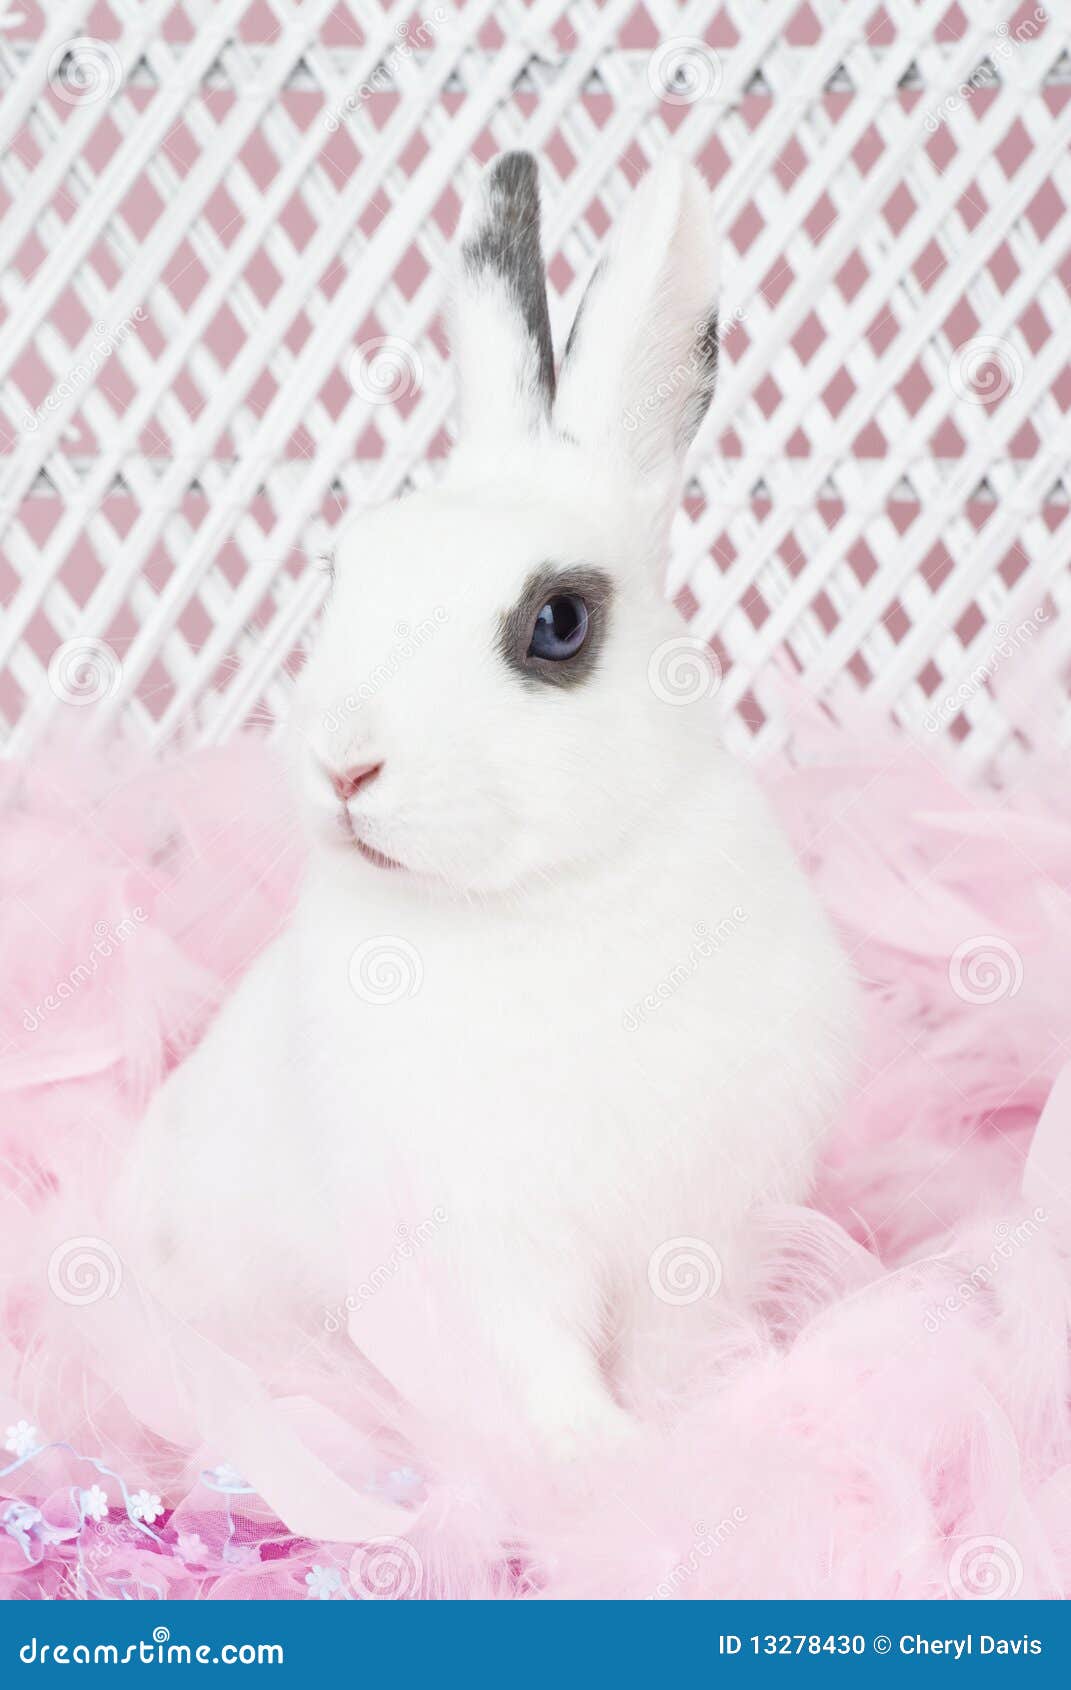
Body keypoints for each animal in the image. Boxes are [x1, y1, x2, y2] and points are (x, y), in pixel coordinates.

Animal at [122, 153, 859, 1463]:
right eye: (342, 569)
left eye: (558, 623)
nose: (345, 765)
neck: (542, 900)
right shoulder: (482, 1256)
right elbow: (539, 1374)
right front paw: (604, 1461)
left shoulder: (704, 1233)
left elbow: (674, 1351)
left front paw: (685, 1437)